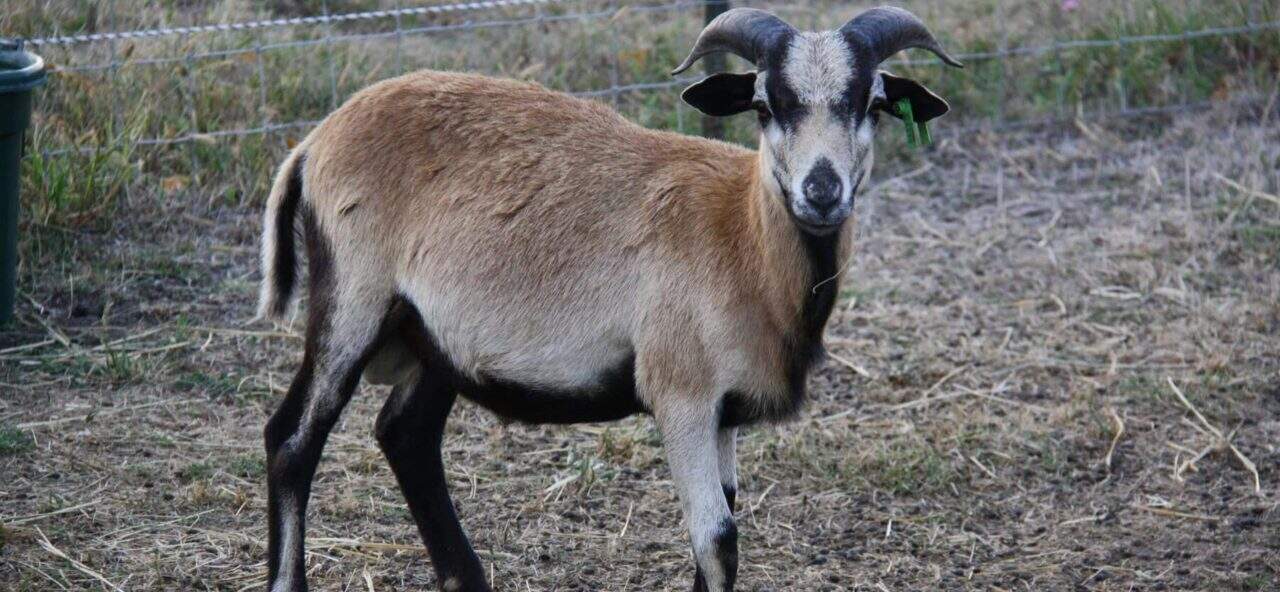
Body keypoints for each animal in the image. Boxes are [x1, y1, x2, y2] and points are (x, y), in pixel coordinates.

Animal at [257, 6, 961, 592]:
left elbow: (721, 533)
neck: (743, 242)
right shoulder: (680, 395)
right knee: (292, 439)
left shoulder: (723, 411)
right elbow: (718, 541)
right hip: (353, 301)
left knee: (406, 435)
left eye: (871, 103)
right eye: (765, 104)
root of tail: (313, 143)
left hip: (437, 340)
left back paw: (466, 577)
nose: (822, 191)